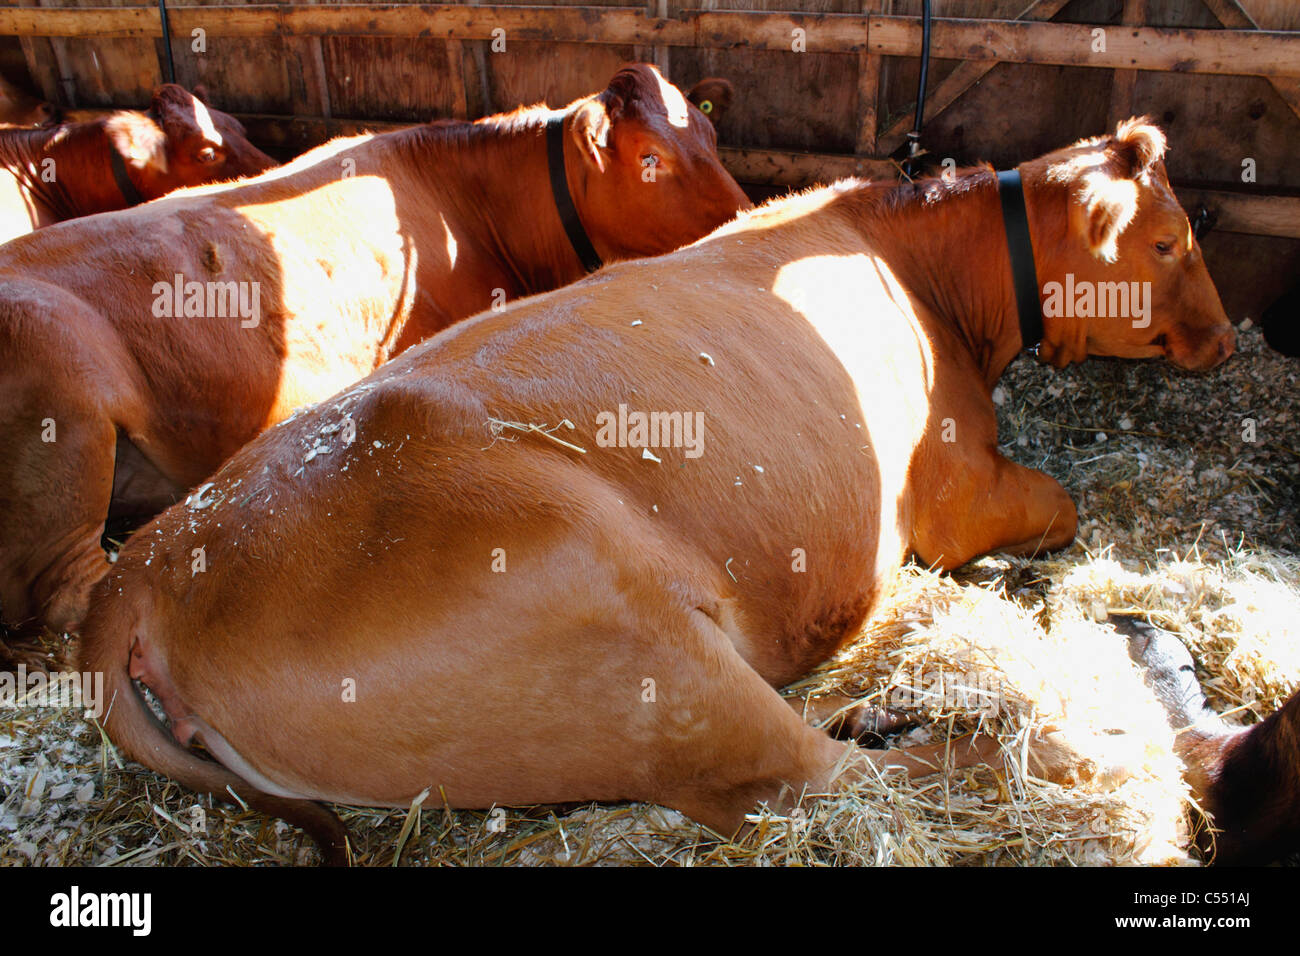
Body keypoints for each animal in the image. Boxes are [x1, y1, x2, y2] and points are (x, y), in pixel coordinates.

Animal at [77, 118, 1246, 864]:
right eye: (1169, 238)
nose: (1229, 340)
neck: (927, 275)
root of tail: (147, 567)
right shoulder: (958, 490)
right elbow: (1059, 505)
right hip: (643, 661)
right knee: (822, 779)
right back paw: (1064, 745)